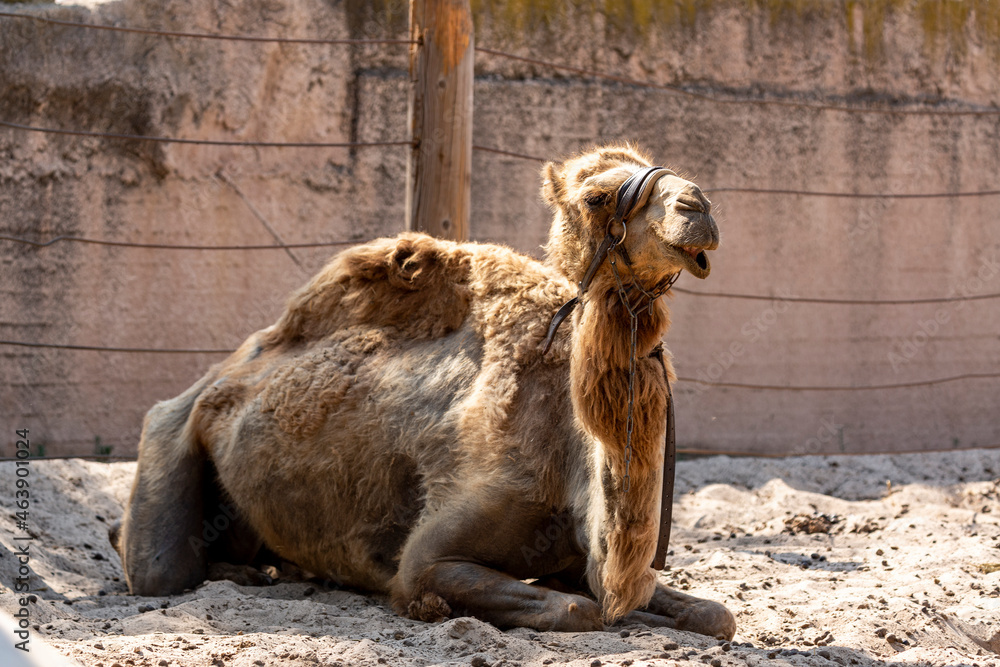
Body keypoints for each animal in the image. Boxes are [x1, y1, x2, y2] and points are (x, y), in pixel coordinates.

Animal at [114, 144, 734, 638]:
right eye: (596, 197)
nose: (697, 206)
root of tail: (221, 374)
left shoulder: (583, 560)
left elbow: (713, 614)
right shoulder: (431, 553)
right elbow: (577, 609)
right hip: (170, 442)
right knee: (163, 569)